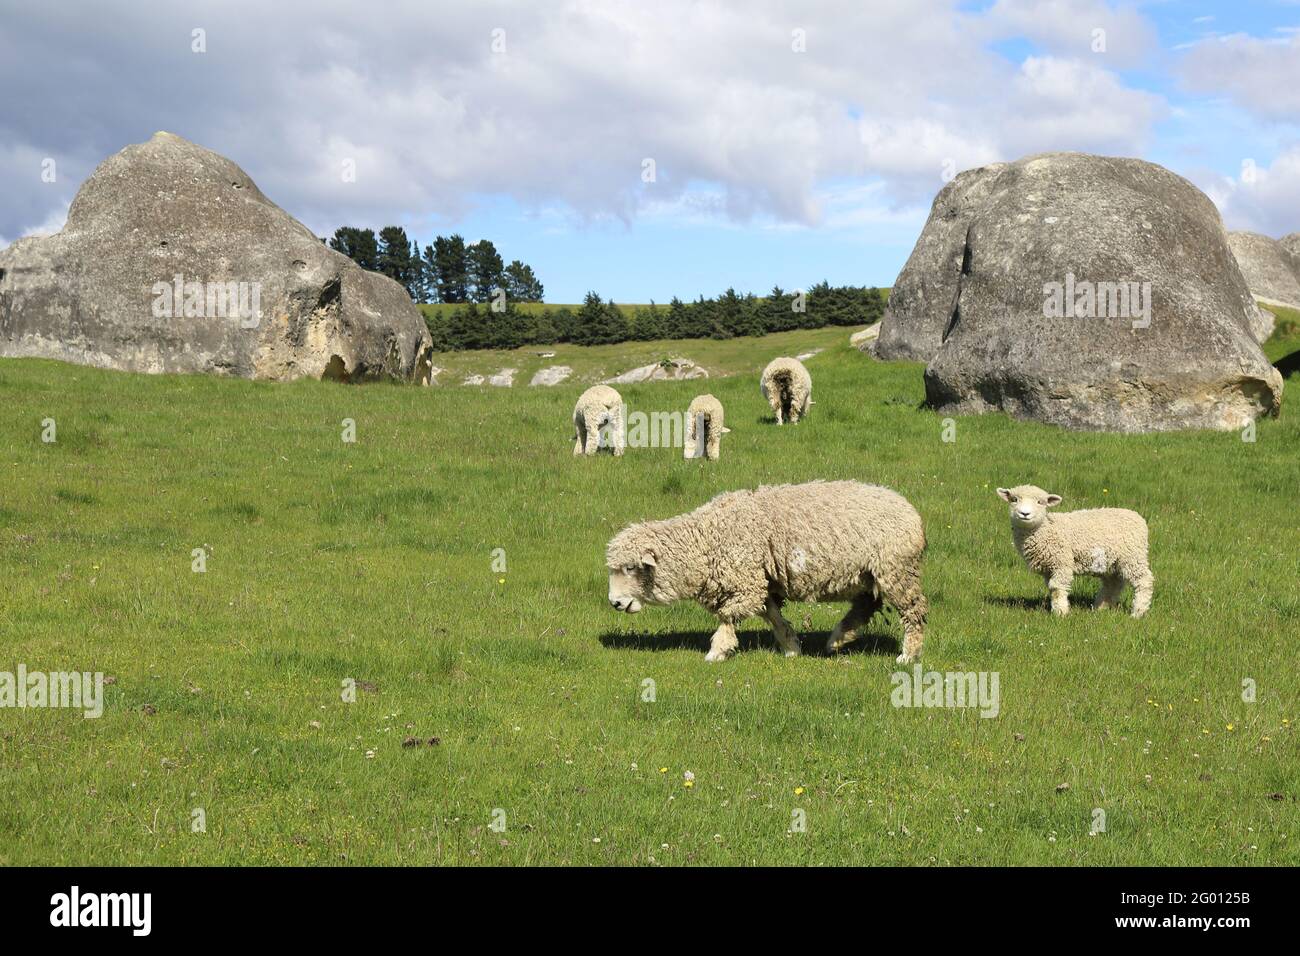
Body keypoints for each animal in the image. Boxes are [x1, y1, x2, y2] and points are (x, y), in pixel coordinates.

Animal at [606, 480, 929, 663]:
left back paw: (907, 654)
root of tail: (912, 513)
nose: (615, 603)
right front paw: (791, 647)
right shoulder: (760, 580)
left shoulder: (745, 581)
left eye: (631, 567)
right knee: (866, 604)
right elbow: (771, 613)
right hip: (869, 573)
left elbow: (728, 617)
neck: (705, 540)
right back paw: (837, 639)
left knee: (914, 612)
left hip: (896, 569)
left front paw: (717, 652)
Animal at [996, 485, 1153, 618]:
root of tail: (1138, 517)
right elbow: (1052, 588)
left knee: (1144, 581)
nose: (1024, 513)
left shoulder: (1062, 562)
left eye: (1040, 502)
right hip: (1111, 561)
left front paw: (1060, 613)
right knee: (1113, 584)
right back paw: (1100, 608)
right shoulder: (1048, 567)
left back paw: (1138, 612)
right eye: (1014, 500)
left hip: (1133, 556)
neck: (1046, 529)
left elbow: (1057, 587)